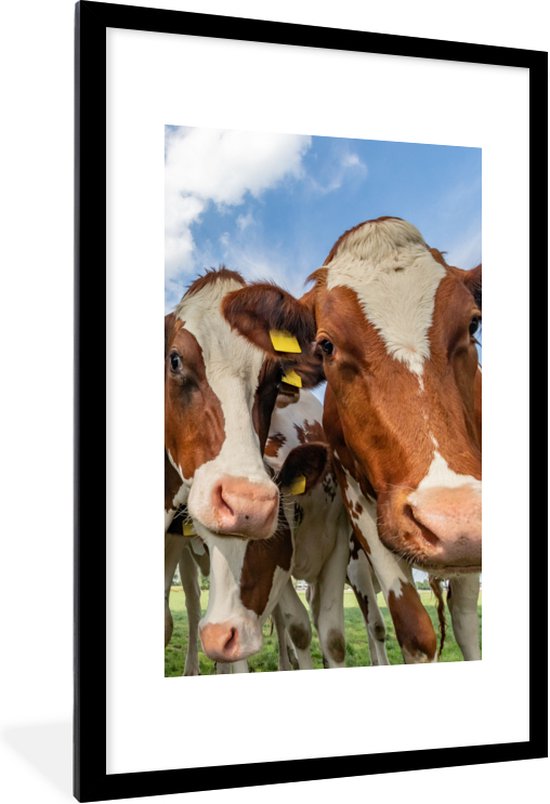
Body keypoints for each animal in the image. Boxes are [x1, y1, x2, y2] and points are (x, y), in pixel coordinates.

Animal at [219, 217, 482, 663]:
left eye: (473, 324)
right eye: (326, 344)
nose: (453, 522)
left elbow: (465, 622)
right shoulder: (359, 506)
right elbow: (413, 630)